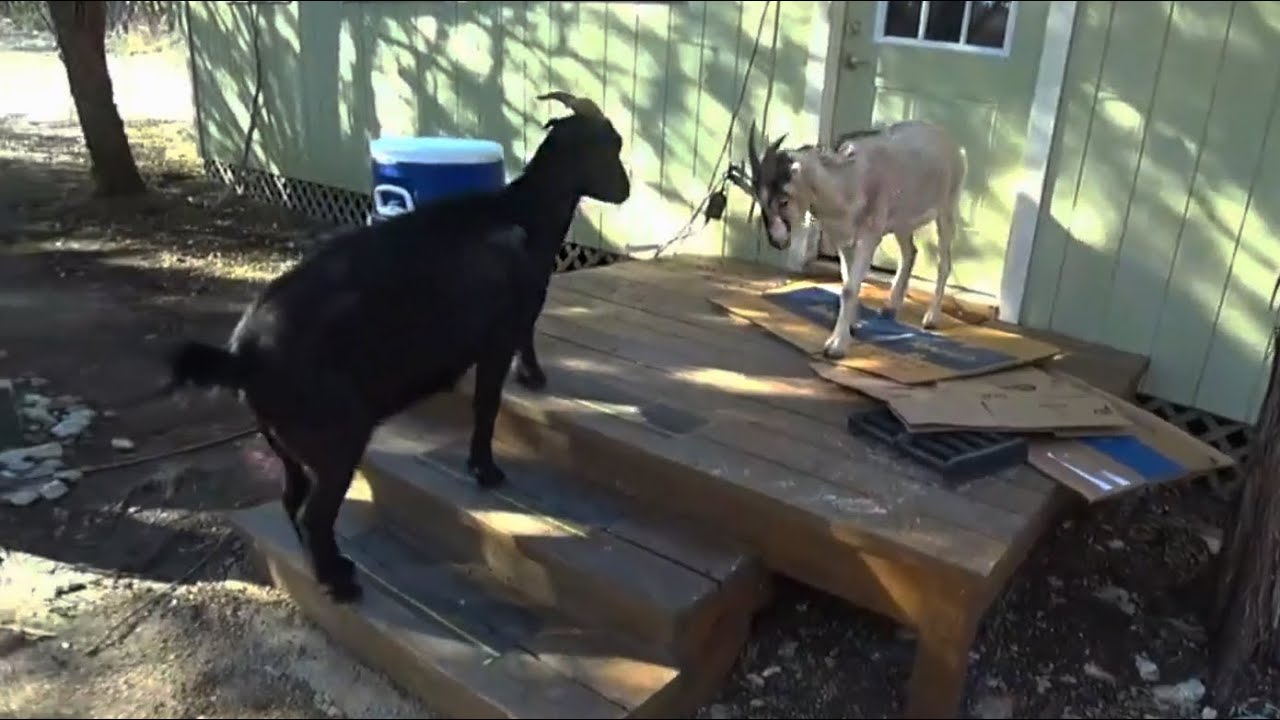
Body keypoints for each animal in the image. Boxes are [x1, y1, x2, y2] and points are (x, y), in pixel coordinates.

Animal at [163, 91, 630, 603]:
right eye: (609, 147)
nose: (626, 191)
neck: (520, 213)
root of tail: (242, 357)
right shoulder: (498, 338)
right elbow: (487, 406)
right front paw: (485, 469)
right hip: (335, 439)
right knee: (314, 512)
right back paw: (340, 584)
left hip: (285, 444)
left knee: (292, 500)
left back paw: (327, 568)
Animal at [747, 119, 966, 360]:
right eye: (760, 199)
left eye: (784, 200)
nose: (778, 241)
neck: (850, 181)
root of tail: (949, 141)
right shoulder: (842, 239)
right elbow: (847, 283)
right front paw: (850, 327)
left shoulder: (868, 237)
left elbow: (849, 288)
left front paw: (836, 346)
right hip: (902, 222)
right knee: (910, 252)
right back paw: (890, 307)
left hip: (946, 210)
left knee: (943, 263)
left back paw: (931, 318)